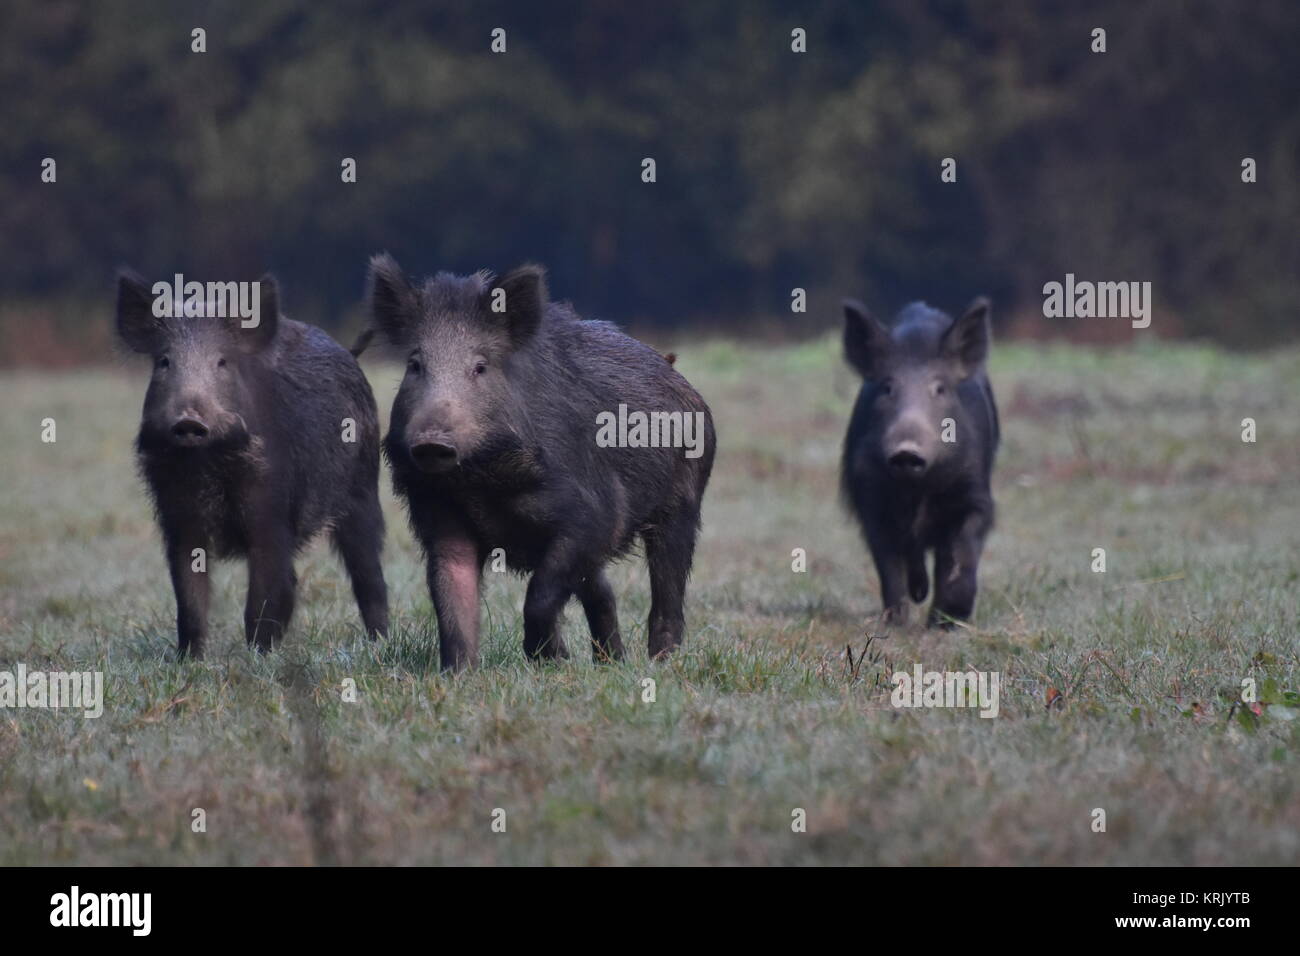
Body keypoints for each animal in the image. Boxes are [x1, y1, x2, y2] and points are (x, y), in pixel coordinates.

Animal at [115, 270, 389, 658]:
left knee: (368, 573)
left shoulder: (270, 512)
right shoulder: (178, 519)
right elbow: (190, 598)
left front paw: (257, 658)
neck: (205, 466)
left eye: (222, 362)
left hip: (363, 491)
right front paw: (189, 660)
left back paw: (380, 642)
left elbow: (261, 597)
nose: (188, 421)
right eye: (164, 361)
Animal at [361, 254, 715, 670]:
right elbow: (452, 597)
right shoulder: (441, 518)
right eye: (415, 365)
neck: (480, 483)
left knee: (667, 590)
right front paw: (460, 674)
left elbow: (541, 594)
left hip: (684, 502)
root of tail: (675, 371)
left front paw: (547, 658)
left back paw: (659, 662)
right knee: (602, 592)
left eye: (480, 366)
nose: (432, 441)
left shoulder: (593, 516)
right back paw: (613, 663)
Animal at [840, 297, 999, 627]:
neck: (917, 490)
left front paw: (948, 621)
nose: (906, 450)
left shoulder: (975, 493)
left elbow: (961, 553)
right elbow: (889, 565)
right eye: (887, 387)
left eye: (939, 388)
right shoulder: (870, 499)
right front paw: (897, 622)